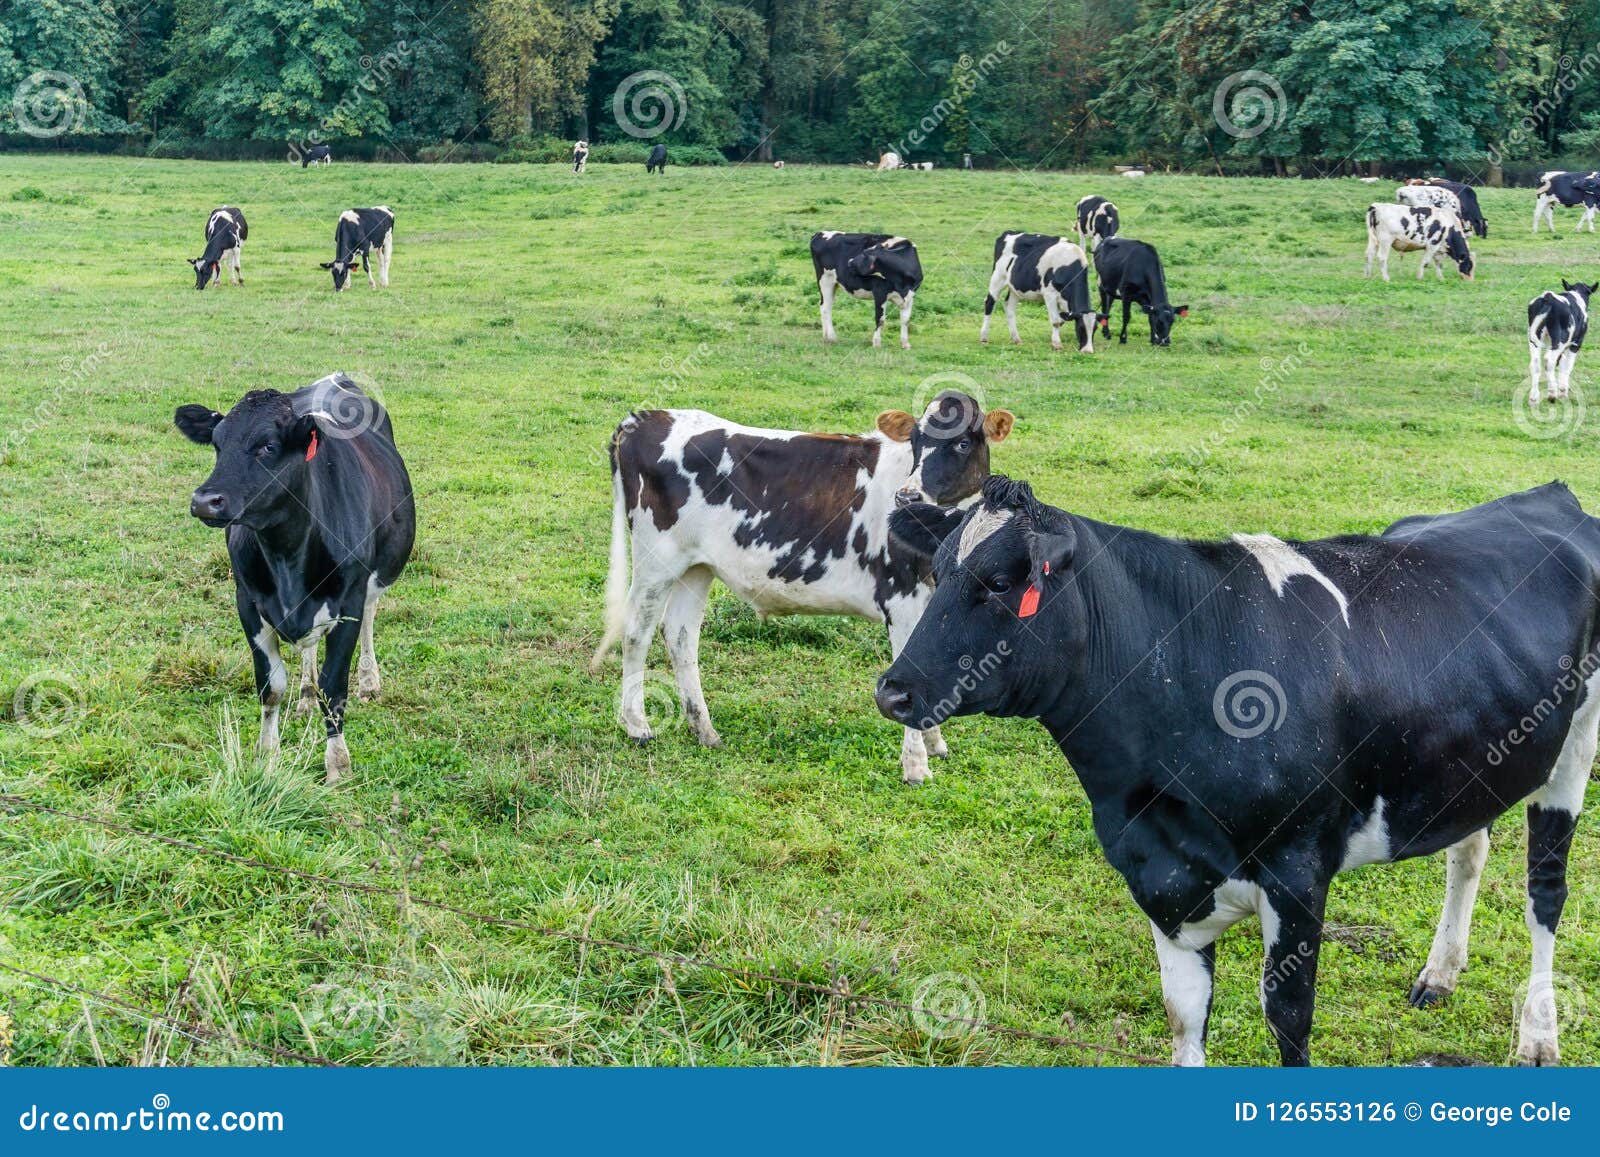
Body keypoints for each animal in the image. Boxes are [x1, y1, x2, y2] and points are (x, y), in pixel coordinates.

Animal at [173, 374, 416, 784]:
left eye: (268, 446)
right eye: (217, 444)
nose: (205, 501)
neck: (286, 551)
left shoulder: (348, 601)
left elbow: (334, 688)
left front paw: (337, 767)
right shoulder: (247, 601)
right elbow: (271, 687)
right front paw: (266, 761)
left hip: (374, 578)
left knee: (371, 614)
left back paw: (369, 680)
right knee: (308, 649)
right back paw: (305, 694)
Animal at [589, 392, 1015, 785]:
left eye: (962, 443)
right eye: (914, 439)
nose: (907, 496)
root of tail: (648, 416)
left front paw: (934, 742)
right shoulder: (902, 598)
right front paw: (915, 766)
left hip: (696, 567)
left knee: (680, 636)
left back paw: (704, 730)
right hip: (656, 560)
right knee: (637, 633)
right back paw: (637, 724)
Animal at [877, 475, 1600, 1066]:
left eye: (1000, 583)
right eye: (938, 571)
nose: (895, 691)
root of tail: (1551, 495)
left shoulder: (1298, 871)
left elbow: (1288, 1020)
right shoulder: (1161, 880)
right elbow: (1183, 1019)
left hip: (1574, 749)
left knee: (1546, 894)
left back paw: (1539, 1037)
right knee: (1469, 849)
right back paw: (1440, 974)